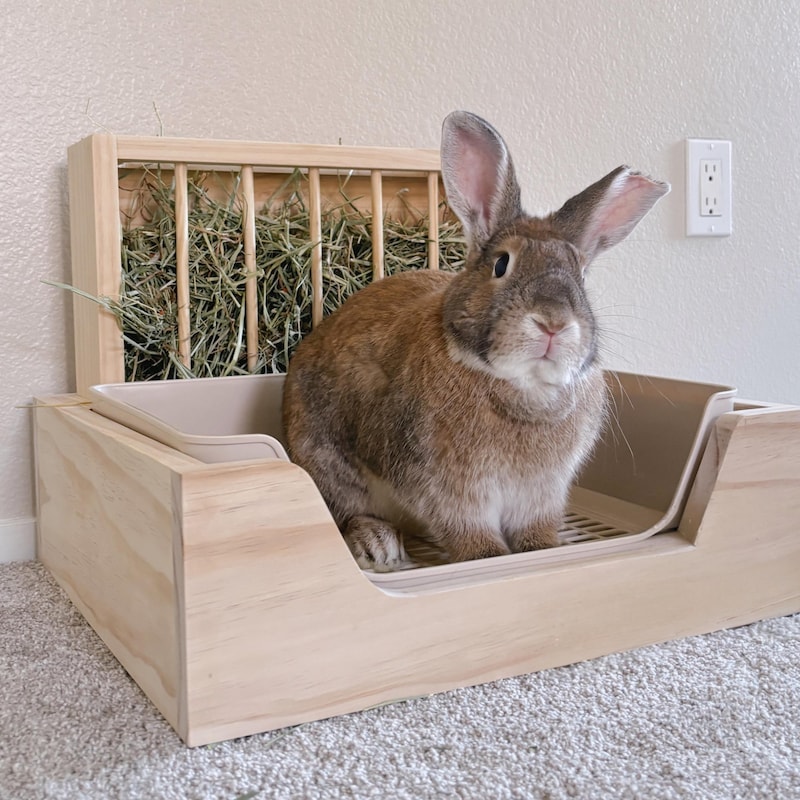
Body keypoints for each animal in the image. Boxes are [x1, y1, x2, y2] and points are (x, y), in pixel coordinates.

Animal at [283, 110, 669, 572]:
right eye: (501, 264)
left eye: (579, 276)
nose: (554, 323)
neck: (523, 388)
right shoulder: (447, 488)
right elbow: (467, 530)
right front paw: (486, 556)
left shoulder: (542, 492)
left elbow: (535, 529)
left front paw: (544, 550)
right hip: (327, 462)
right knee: (345, 512)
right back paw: (377, 545)